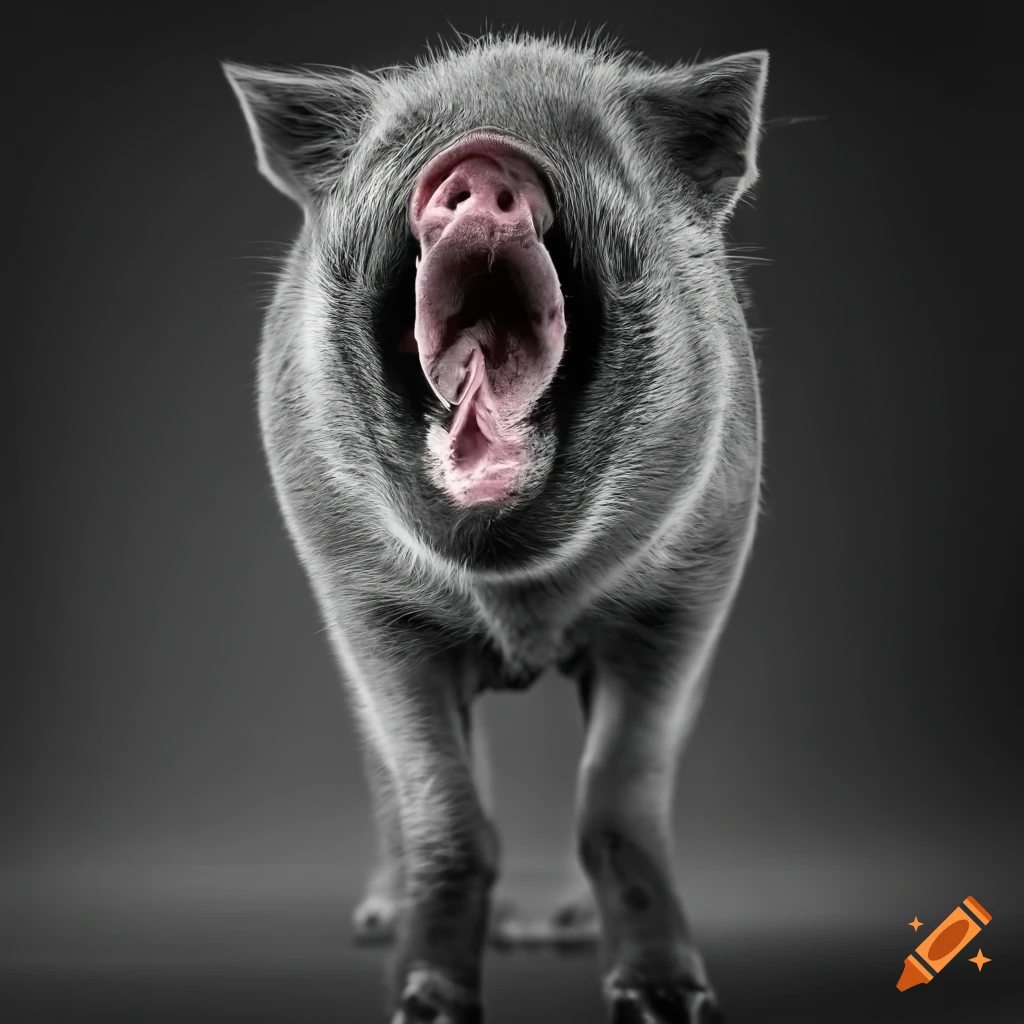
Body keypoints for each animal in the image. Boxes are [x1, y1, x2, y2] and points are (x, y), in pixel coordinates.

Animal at [225, 29, 768, 1024]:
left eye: (587, 146)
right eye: (405, 143)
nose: (479, 157)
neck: (519, 604)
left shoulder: (687, 594)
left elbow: (619, 798)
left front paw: (668, 1003)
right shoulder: (365, 603)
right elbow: (444, 808)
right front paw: (427, 1007)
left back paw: (558, 934)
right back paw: (389, 918)